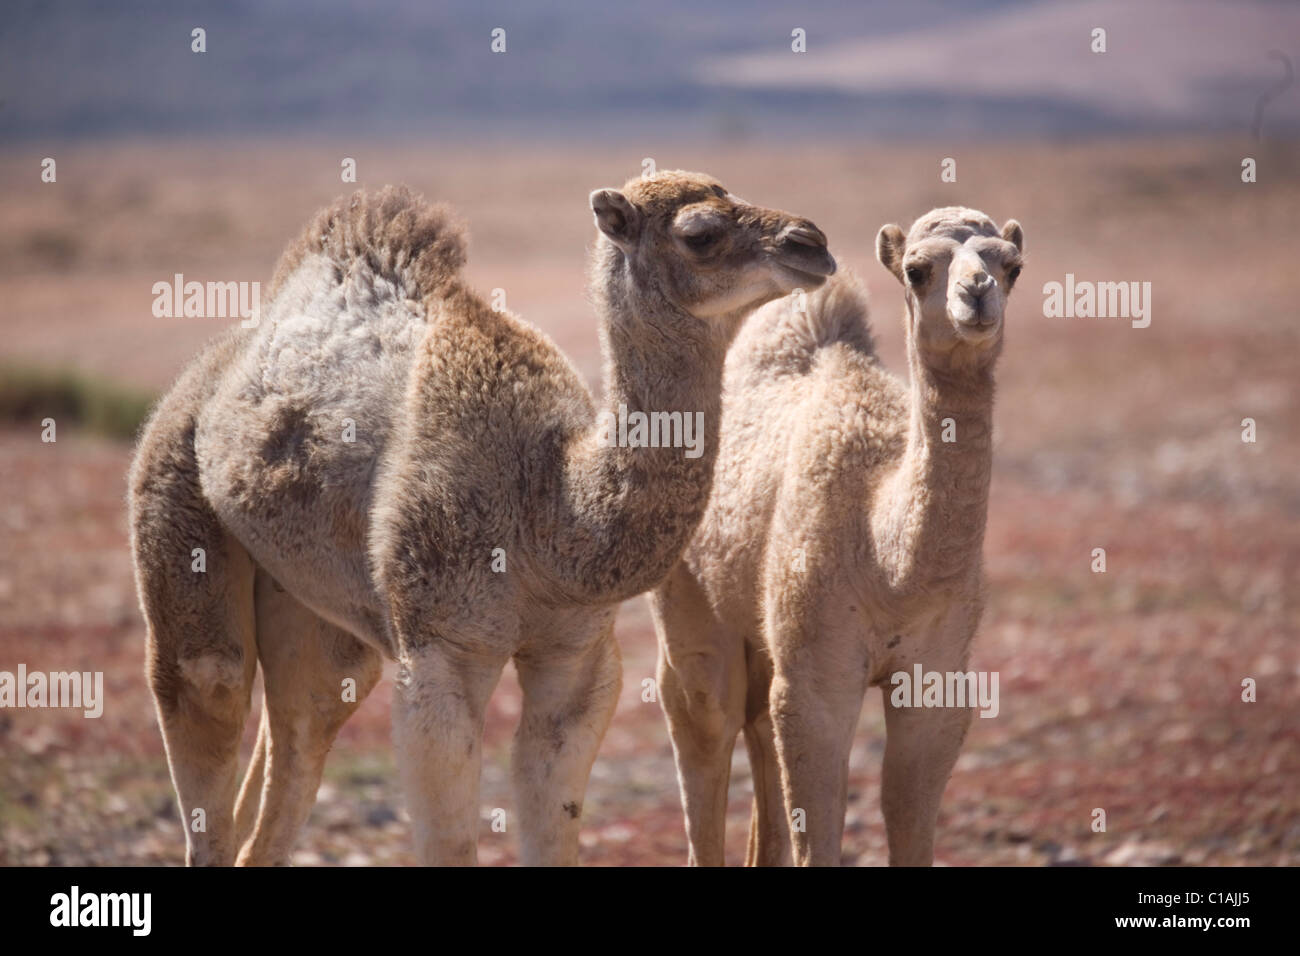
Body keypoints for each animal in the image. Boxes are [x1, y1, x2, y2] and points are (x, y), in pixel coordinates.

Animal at [127, 173, 835, 866]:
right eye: (700, 233)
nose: (813, 242)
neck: (549, 511)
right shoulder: (442, 652)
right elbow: (449, 839)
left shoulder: (577, 660)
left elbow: (554, 826)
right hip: (174, 497)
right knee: (208, 684)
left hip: (312, 601)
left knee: (306, 720)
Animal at [649, 206, 1023, 866]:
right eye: (917, 270)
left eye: (1012, 265)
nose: (977, 294)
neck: (888, 563)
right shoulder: (818, 685)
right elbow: (818, 832)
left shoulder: (937, 680)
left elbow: (907, 818)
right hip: (687, 597)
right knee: (705, 723)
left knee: (756, 730)